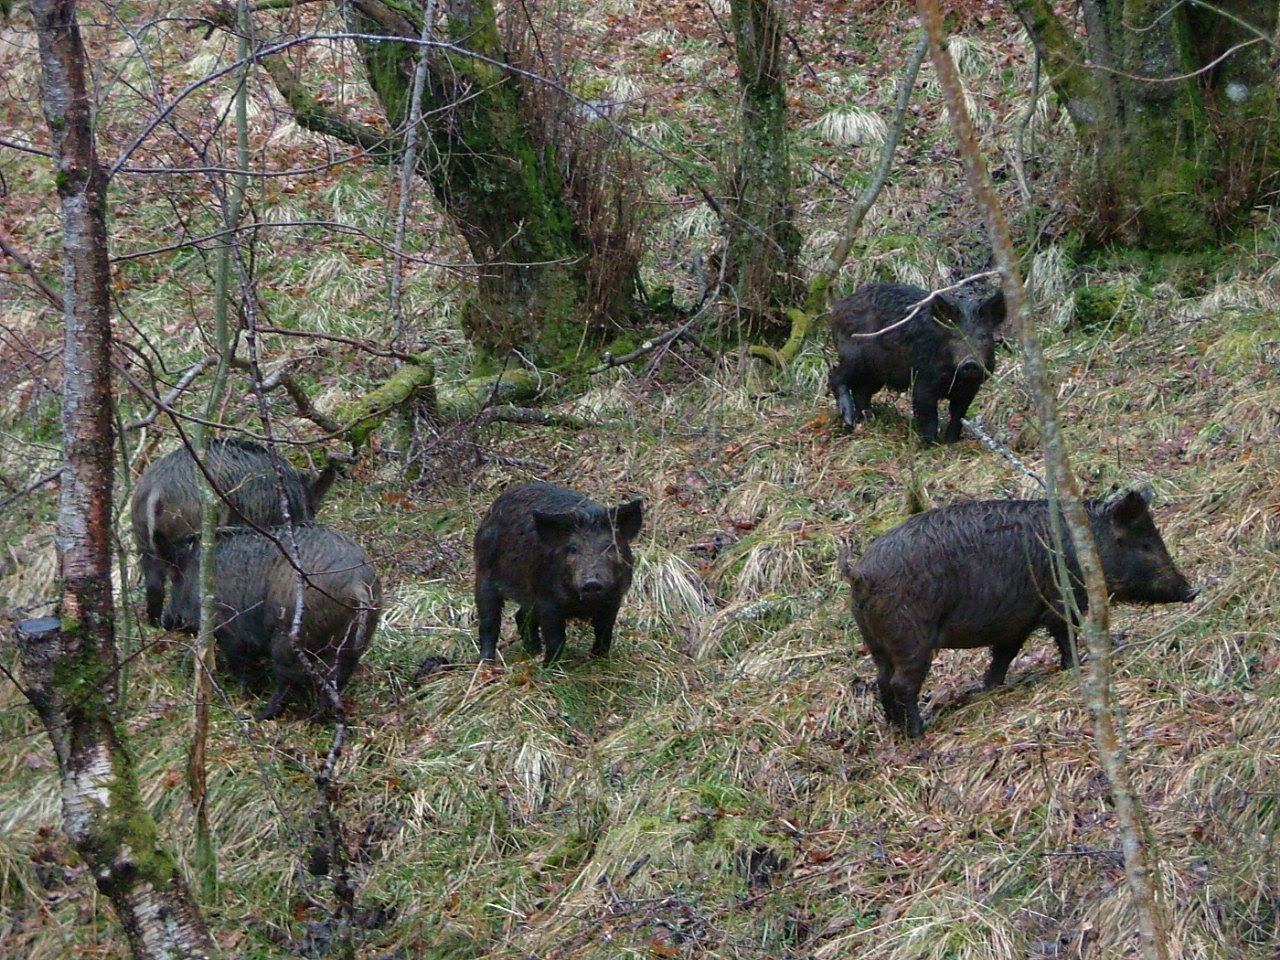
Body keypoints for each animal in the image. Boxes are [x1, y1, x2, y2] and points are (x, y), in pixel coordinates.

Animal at [162, 523, 380, 720]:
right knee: (336, 679)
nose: (165, 620)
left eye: (174, 578)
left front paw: (243, 698)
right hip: (351, 646)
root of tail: (357, 584)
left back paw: (259, 716)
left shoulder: (231, 632)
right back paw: (316, 717)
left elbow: (242, 667)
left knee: (288, 682)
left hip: (287, 640)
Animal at [474, 481, 644, 665]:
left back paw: (532, 652)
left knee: (521, 616)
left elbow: (604, 633)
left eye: (611, 546)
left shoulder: (614, 599)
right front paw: (548, 666)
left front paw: (599, 659)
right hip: (484, 575)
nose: (591, 582)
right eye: (573, 548)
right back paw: (486, 663)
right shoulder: (547, 600)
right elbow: (556, 639)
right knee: (489, 622)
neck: (582, 604)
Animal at [827, 282, 1006, 445]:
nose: (970, 363)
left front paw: (951, 442)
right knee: (835, 375)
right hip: (855, 357)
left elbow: (958, 414)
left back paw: (869, 419)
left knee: (861, 391)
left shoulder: (971, 388)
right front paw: (930, 445)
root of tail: (839, 306)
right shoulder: (923, 380)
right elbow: (928, 415)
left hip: (877, 372)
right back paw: (849, 420)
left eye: (983, 336)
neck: (954, 379)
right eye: (954, 336)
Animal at [840, 490, 1197, 737]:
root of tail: (861, 574)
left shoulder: (1015, 624)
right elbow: (1065, 634)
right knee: (901, 684)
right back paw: (919, 732)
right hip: (911, 637)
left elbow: (1003, 656)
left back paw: (897, 728)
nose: (1193, 591)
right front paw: (1076, 666)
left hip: (877, 642)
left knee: (881, 680)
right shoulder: (1061, 601)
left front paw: (991, 688)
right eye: (1146, 545)